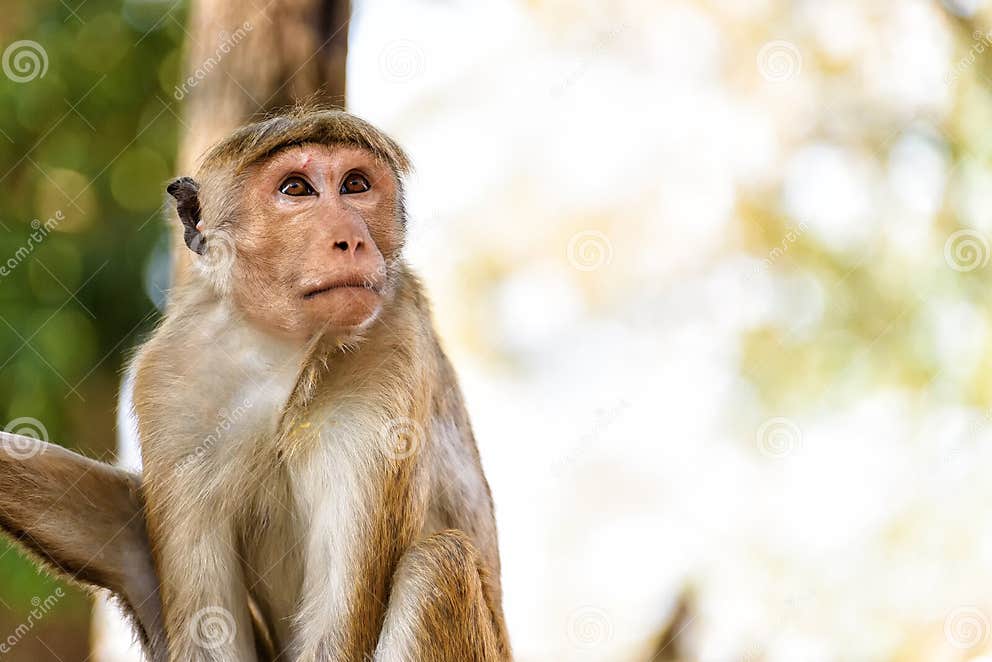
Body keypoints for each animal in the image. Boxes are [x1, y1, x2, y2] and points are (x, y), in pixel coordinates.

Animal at [127, 108, 510, 662]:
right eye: (296, 189)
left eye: (355, 185)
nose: (351, 238)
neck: (281, 355)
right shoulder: (172, 379)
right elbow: (210, 631)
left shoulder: (393, 347)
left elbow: (339, 627)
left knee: (436, 565)